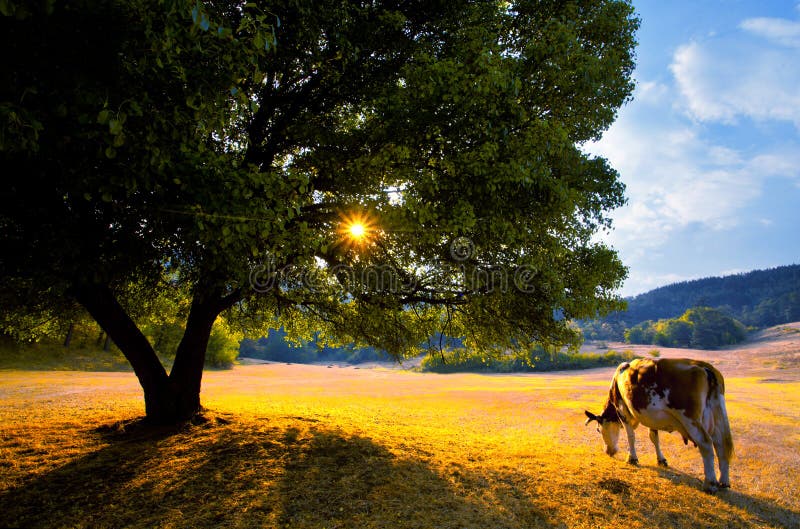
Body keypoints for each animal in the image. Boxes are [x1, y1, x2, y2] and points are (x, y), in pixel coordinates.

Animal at [584, 358, 733, 493]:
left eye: (598, 430)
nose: (608, 451)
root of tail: (704, 367)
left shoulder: (622, 410)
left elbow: (631, 436)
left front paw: (632, 458)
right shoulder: (652, 417)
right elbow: (654, 437)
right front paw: (661, 459)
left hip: (689, 418)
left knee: (706, 443)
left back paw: (710, 483)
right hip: (718, 415)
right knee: (721, 444)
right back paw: (723, 481)